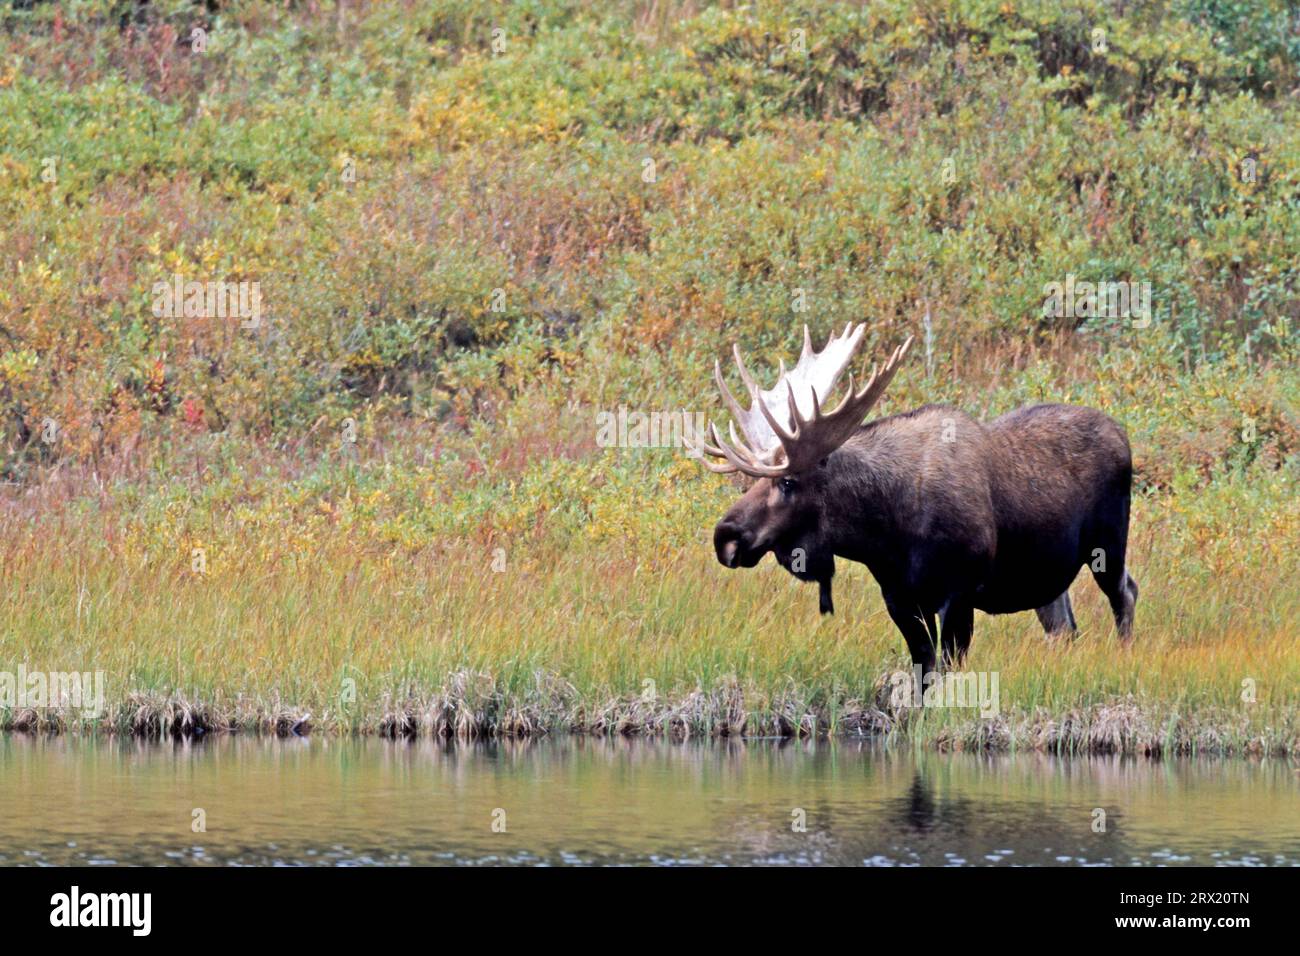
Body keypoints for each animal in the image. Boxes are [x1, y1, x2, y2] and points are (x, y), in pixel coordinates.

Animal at [689, 323, 1138, 685]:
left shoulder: (959, 593)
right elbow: (923, 669)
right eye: (751, 480)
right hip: (1047, 574)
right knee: (1064, 627)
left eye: (786, 481)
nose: (725, 537)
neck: (885, 534)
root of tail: (1123, 434)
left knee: (1125, 594)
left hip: (1108, 544)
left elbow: (949, 670)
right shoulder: (899, 599)